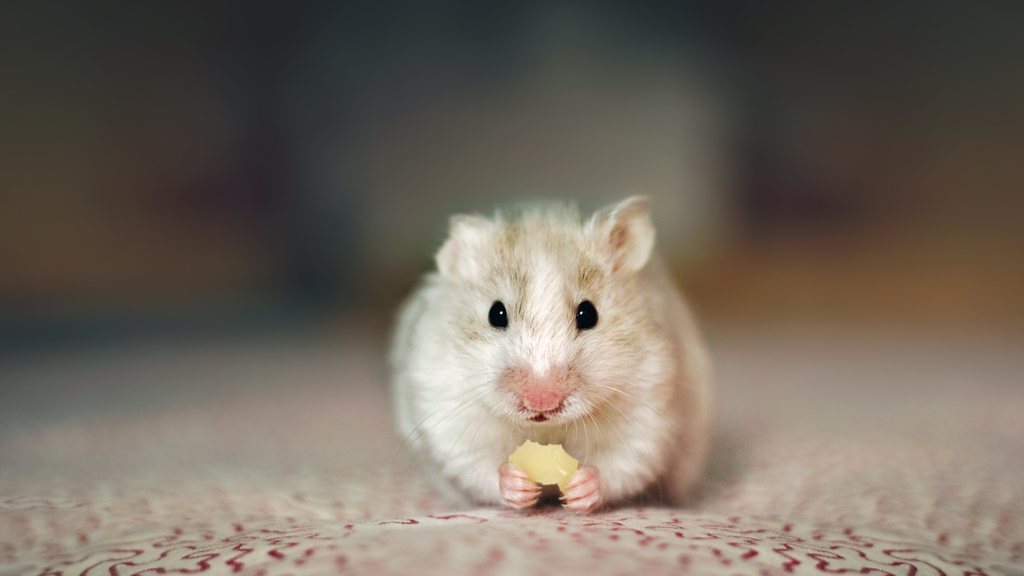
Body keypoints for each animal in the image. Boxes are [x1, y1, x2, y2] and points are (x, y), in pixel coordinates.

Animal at [389, 196, 713, 513]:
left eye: (588, 314)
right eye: (496, 313)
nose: (541, 401)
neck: (546, 430)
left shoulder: (649, 415)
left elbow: (619, 465)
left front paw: (579, 489)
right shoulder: (448, 412)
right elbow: (480, 466)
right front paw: (519, 486)